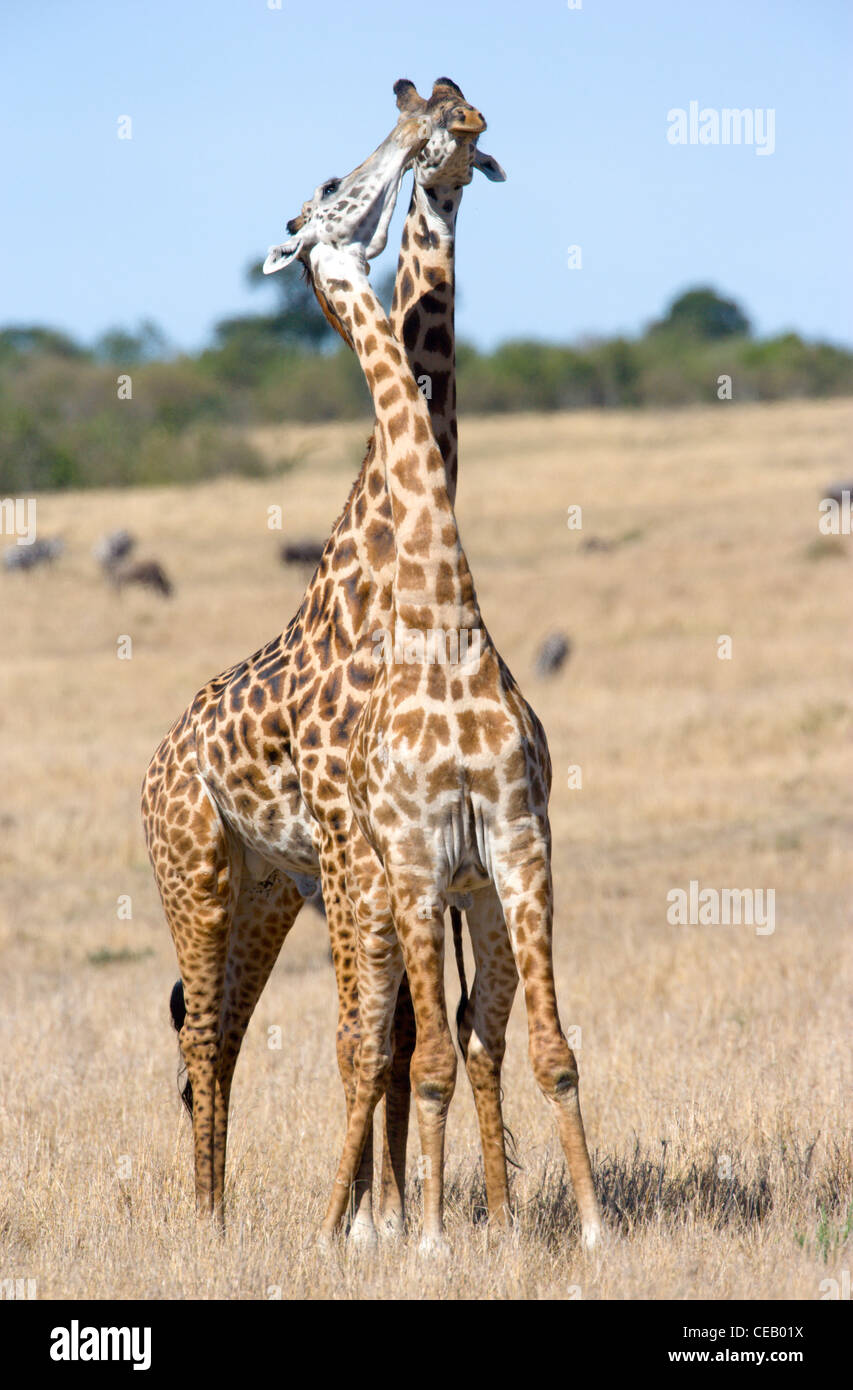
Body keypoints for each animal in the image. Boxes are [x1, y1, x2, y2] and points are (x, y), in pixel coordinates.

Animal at [141, 81, 504, 1238]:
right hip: (196, 869)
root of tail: (156, 762)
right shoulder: (359, 842)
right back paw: (208, 1217)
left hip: (269, 883)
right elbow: (374, 1036)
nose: (433, 114)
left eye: (457, 126)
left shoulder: (373, 857)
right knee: (203, 1032)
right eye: (335, 187)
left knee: (221, 1030)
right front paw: (377, 1222)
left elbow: (404, 1034)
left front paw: (393, 1216)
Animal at [272, 238, 603, 1252]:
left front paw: (589, 1227)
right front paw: (425, 1240)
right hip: (378, 907)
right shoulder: (417, 863)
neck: (447, 633)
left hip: (476, 902)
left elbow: (551, 1051)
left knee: (466, 1032)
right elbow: (420, 1069)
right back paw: (347, 1224)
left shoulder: (520, 848)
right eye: (322, 224)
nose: (358, 246)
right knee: (373, 1044)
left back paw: (492, 1214)